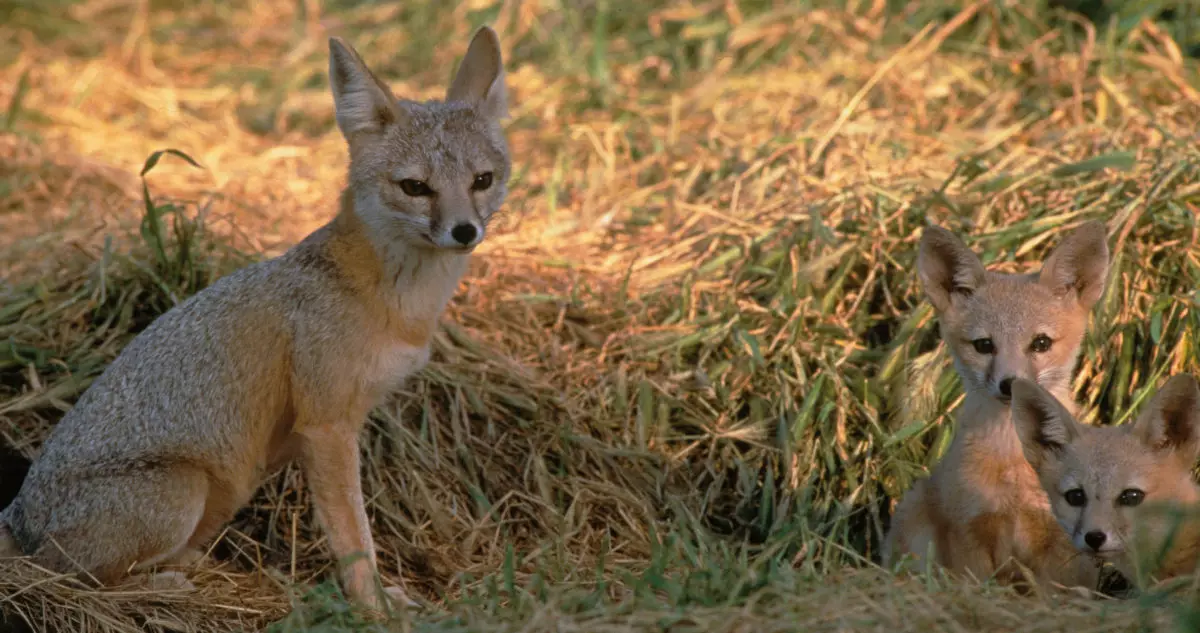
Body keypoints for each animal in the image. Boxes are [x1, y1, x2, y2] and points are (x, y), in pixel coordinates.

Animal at [0, 25, 511, 613]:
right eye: (415, 187)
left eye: (482, 180)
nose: (464, 231)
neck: (395, 299)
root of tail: (19, 515)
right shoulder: (327, 426)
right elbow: (354, 536)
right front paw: (374, 608)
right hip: (185, 493)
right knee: (70, 577)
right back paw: (165, 587)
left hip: (228, 490)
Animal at [888, 220, 1108, 589]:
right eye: (984, 345)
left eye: (1041, 343)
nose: (1010, 384)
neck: (1013, 466)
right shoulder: (970, 533)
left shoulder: (1060, 546)